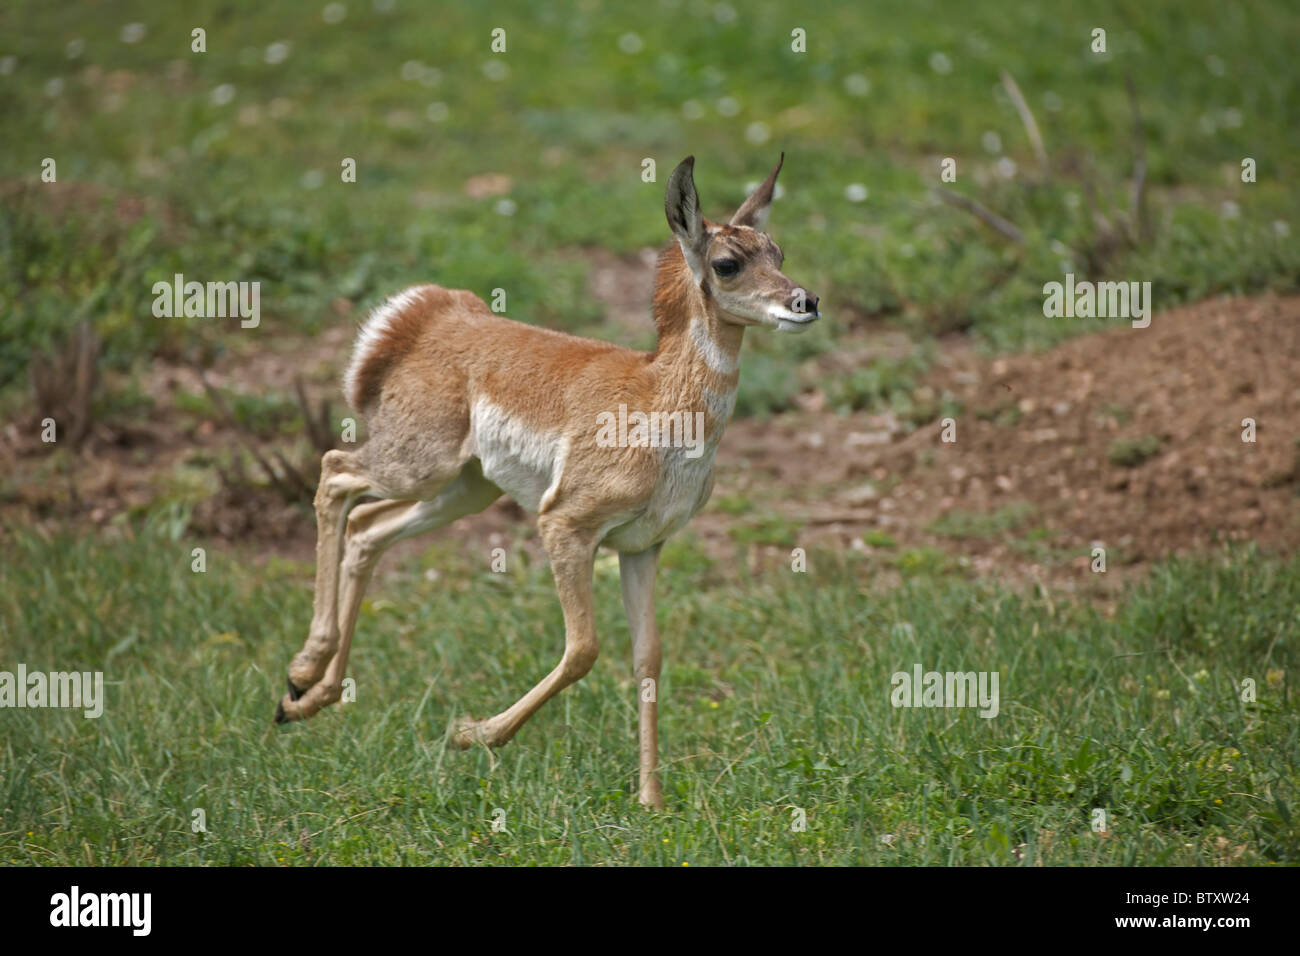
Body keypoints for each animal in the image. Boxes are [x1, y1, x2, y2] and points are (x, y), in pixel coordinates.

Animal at [274, 155, 820, 809]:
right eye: (728, 262)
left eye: (778, 250)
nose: (807, 301)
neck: (657, 400)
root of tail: (429, 313)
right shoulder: (566, 526)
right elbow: (584, 649)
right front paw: (469, 733)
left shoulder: (642, 546)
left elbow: (648, 657)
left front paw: (651, 801)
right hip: (416, 465)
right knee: (334, 475)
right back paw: (302, 671)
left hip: (461, 490)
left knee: (365, 528)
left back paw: (302, 700)